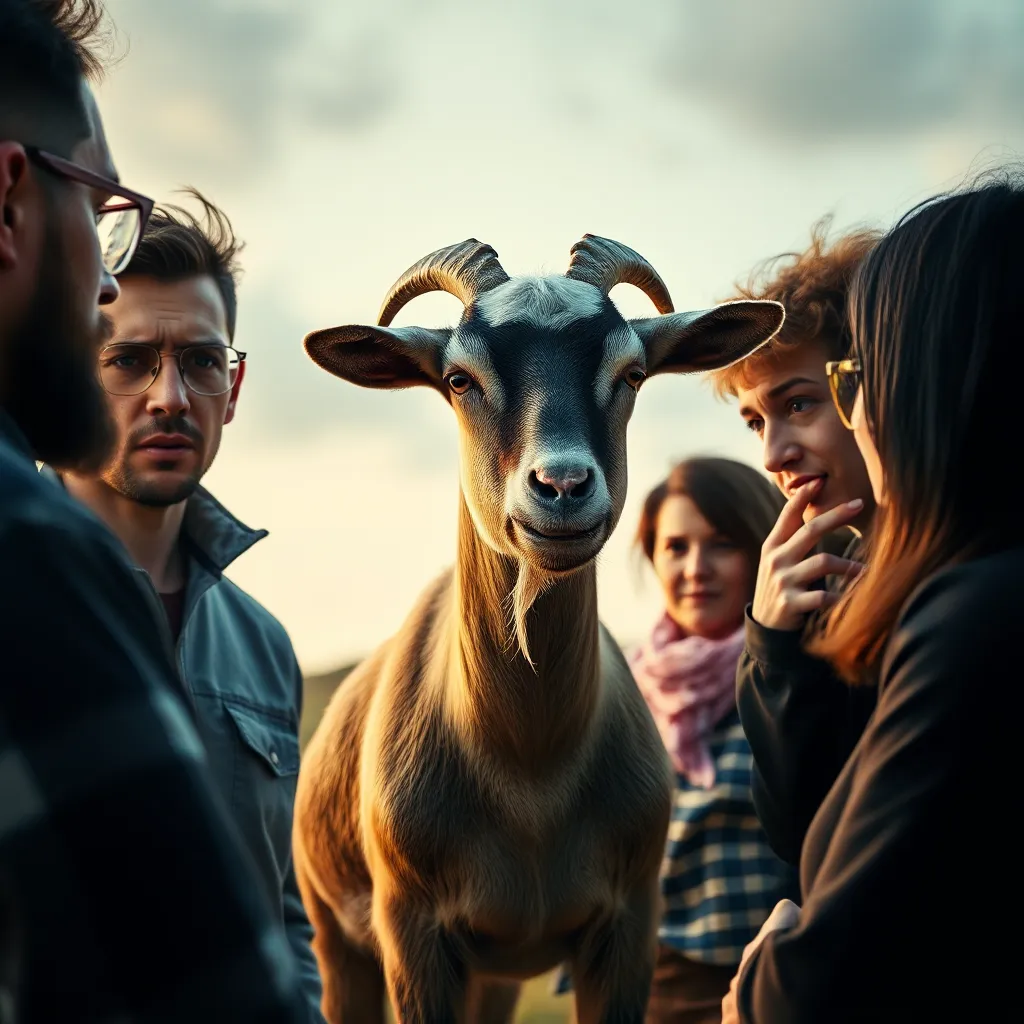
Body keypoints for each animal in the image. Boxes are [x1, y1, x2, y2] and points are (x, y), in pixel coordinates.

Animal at [294, 236, 783, 1023]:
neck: (530, 771)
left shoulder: (626, 927)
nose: (561, 488)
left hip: (494, 976)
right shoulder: (413, 934)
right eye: (458, 378)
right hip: (338, 944)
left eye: (633, 372)